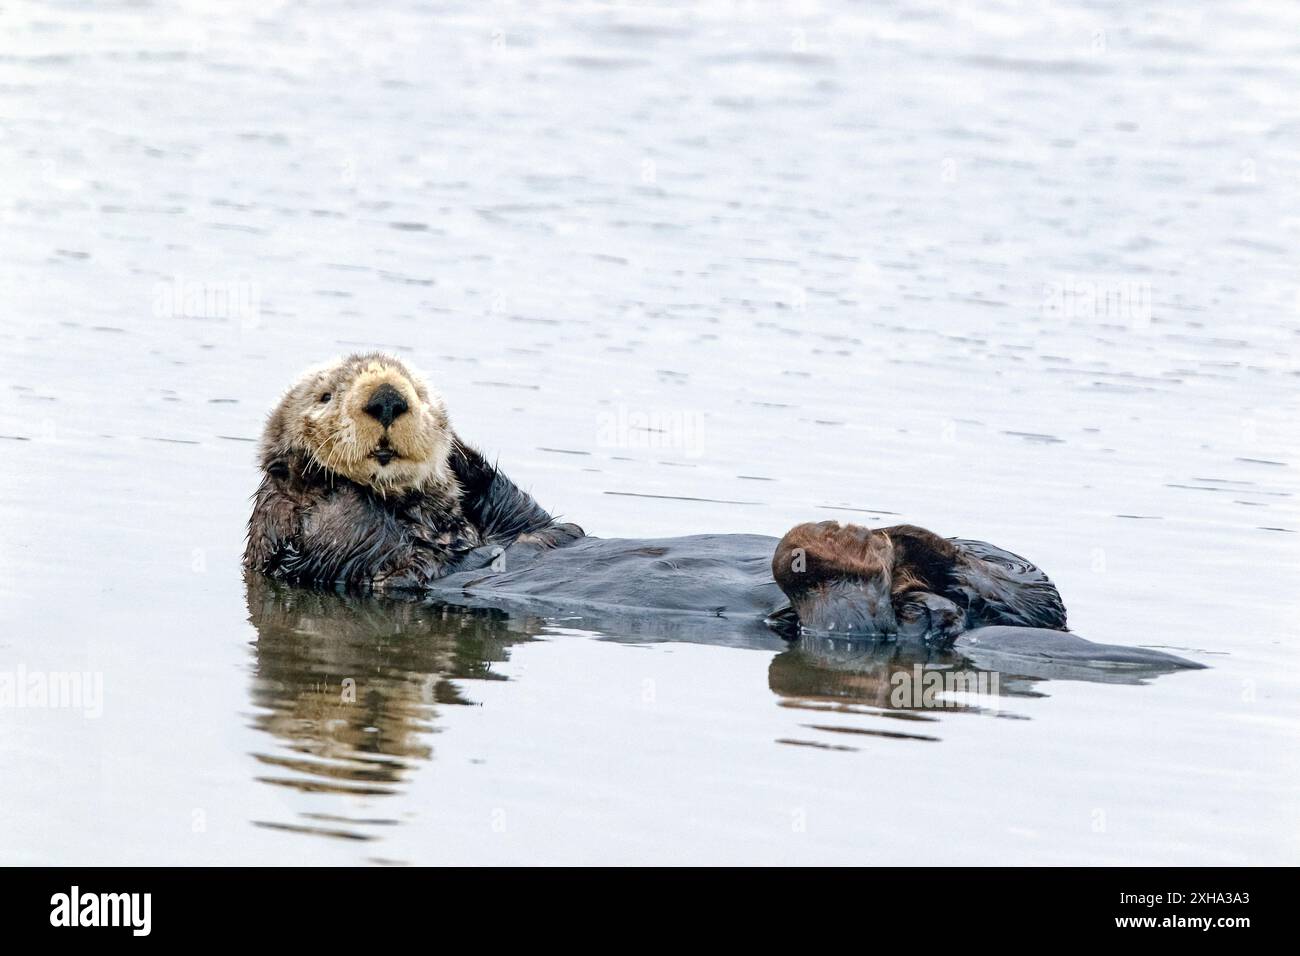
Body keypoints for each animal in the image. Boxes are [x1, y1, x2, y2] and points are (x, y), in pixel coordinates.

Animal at [244, 354, 1201, 670]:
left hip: (1011, 574)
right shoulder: (332, 545)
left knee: (1015, 580)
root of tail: (973, 620)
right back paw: (842, 546)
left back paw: (897, 537)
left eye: (415, 383)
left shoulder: (515, 522)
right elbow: (351, 534)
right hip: (850, 625)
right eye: (329, 391)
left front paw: (460, 451)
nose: (388, 399)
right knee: (865, 613)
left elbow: (527, 512)